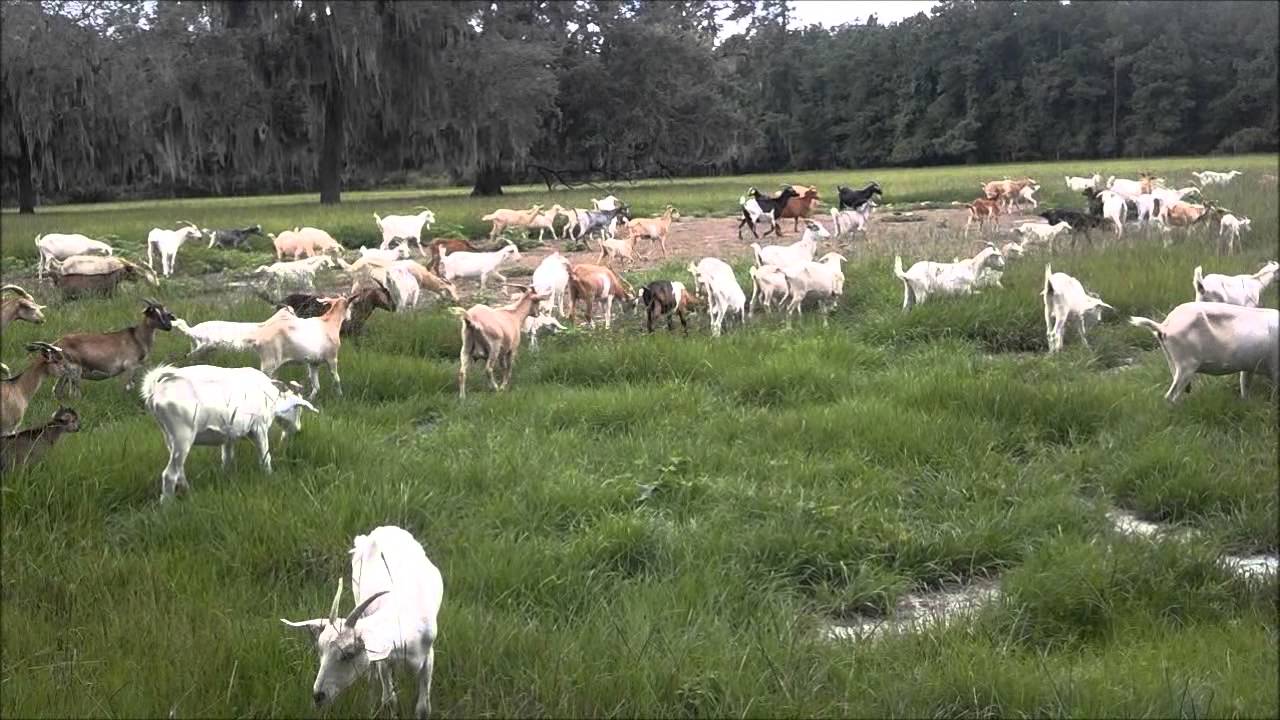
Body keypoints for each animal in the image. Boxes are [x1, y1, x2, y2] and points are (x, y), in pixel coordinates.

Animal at [141, 364, 318, 500]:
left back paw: (188, 492)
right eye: (298, 409)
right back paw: (168, 506)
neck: (269, 395)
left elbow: (226, 459)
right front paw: (270, 478)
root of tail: (156, 390)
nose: (298, 429)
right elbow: (265, 458)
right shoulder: (259, 428)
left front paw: (225, 478)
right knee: (169, 474)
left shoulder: (228, 436)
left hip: (170, 438)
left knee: (179, 470)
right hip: (182, 435)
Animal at [281, 526, 443, 720]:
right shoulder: (384, 658)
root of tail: (376, 533)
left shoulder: (428, 655)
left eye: (349, 654)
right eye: (320, 651)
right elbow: (389, 700)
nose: (318, 696)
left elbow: (423, 708)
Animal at [1129, 302, 1278, 403]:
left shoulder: (1249, 367)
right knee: (1171, 396)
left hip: (1175, 365)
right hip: (1187, 366)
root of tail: (1163, 327)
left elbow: (1245, 386)